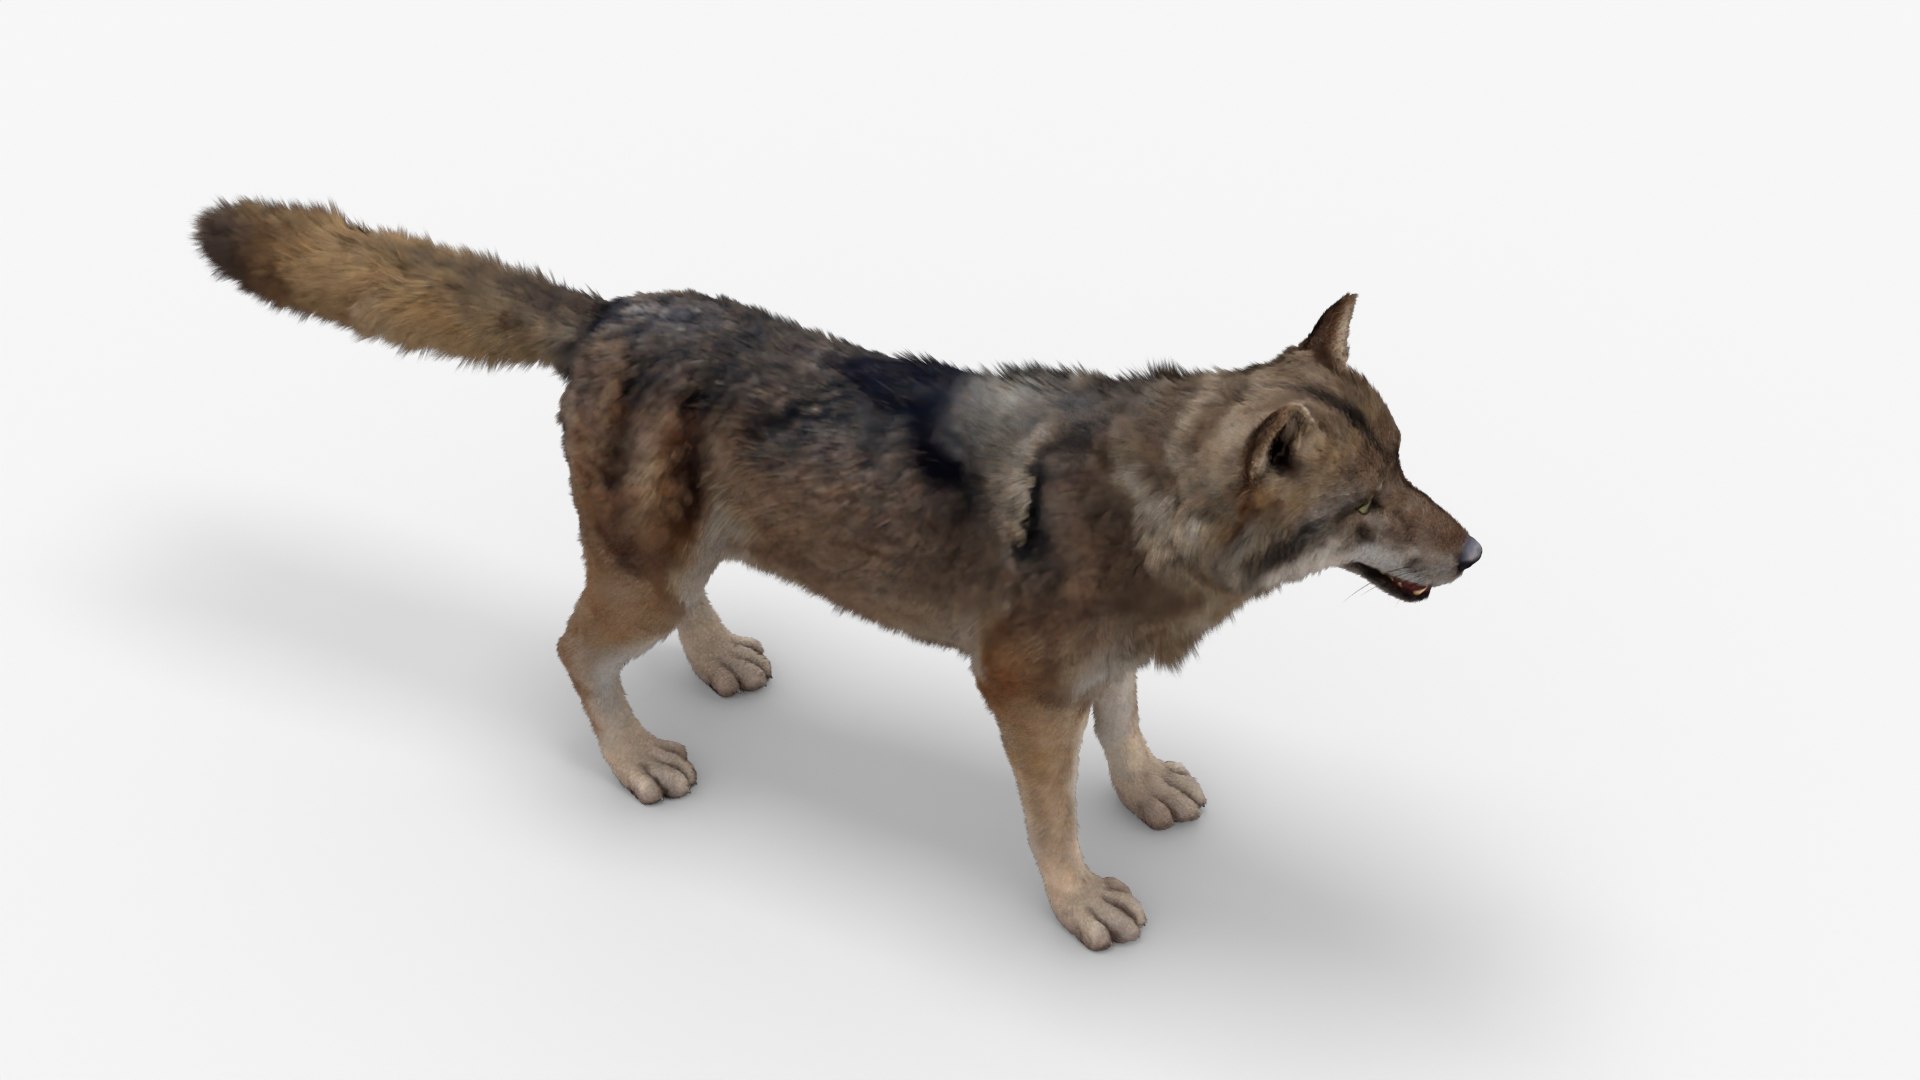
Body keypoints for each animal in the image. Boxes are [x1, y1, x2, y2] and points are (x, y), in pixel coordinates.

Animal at [194, 199, 1481, 950]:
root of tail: (608, 313)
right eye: (1367, 505)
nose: (1474, 553)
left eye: (1406, 464)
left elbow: (1125, 730)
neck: (1151, 507)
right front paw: (1077, 900)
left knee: (681, 610)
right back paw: (639, 760)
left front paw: (1149, 788)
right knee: (573, 650)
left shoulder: (1101, 666)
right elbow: (1054, 815)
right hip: (640, 578)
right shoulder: (1021, 692)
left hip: (691, 550)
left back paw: (719, 662)